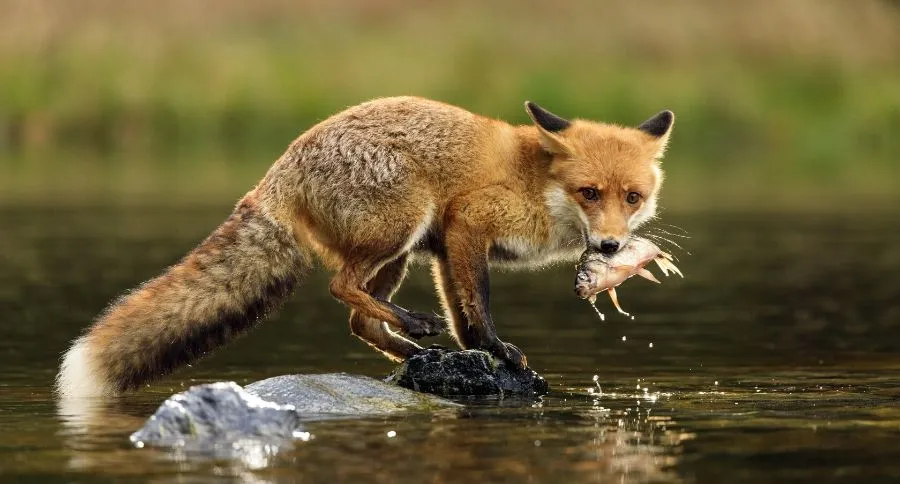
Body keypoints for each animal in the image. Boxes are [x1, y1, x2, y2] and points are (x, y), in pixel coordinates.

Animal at [56, 96, 674, 398]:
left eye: (633, 197)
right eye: (589, 193)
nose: (612, 245)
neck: (537, 184)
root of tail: (277, 170)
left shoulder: (446, 247)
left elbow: (464, 317)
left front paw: (482, 355)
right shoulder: (467, 223)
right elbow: (477, 306)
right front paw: (498, 351)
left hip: (402, 251)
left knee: (360, 320)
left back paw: (416, 350)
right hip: (400, 225)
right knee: (342, 287)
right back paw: (415, 328)